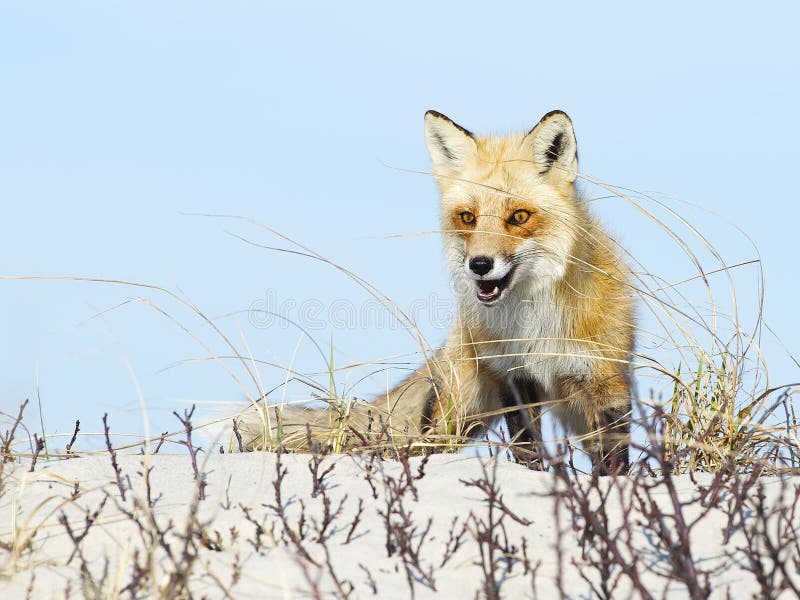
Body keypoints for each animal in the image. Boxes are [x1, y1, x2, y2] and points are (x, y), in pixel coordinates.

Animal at [236, 109, 635, 474]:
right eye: (467, 217)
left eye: (519, 217)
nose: (479, 264)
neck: (535, 324)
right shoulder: (513, 376)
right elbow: (527, 453)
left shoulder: (605, 380)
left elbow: (613, 461)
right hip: (458, 409)